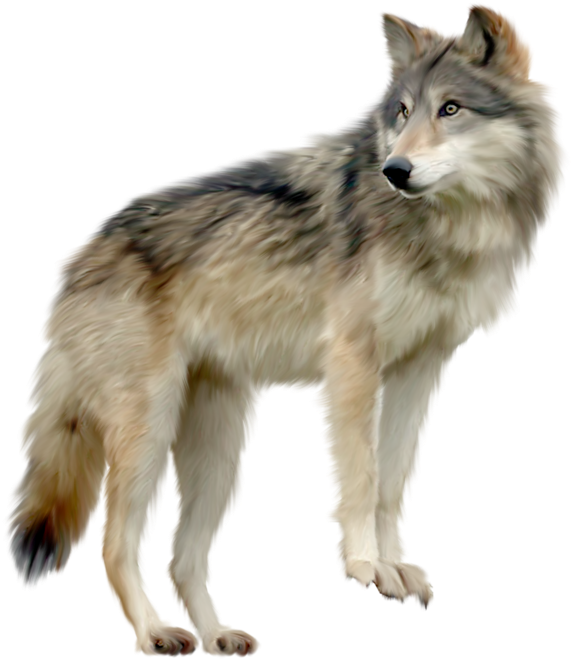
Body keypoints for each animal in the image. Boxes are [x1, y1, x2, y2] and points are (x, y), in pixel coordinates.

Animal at [4, 3, 569, 657]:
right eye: (403, 113)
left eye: (450, 109)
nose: (395, 169)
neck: (447, 225)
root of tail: (77, 256)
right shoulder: (352, 365)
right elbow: (360, 478)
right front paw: (366, 566)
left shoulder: (422, 369)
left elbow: (392, 482)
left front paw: (396, 566)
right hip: (148, 435)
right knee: (117, 541)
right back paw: (156, 633)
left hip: (223, 455)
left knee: (182, 558)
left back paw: (217, 635)